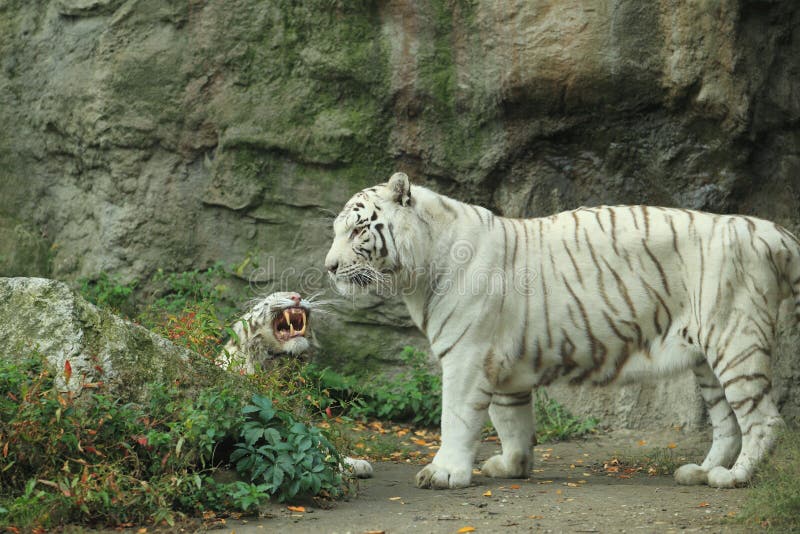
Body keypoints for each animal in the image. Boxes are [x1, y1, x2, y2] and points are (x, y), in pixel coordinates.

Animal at [324, 171, 800, 489]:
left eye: (359, 228)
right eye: (336, 230)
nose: (328, 267)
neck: (416, 272)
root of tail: (767, 229)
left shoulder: (466, 357)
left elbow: (455, 418)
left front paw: (443, 472)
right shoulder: (503, 367)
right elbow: (511, 421)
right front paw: (511, 466)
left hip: (735, 342)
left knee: (764, 420)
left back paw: (733, 478)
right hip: (707, 359)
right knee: (727, 423)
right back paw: (701, 471)